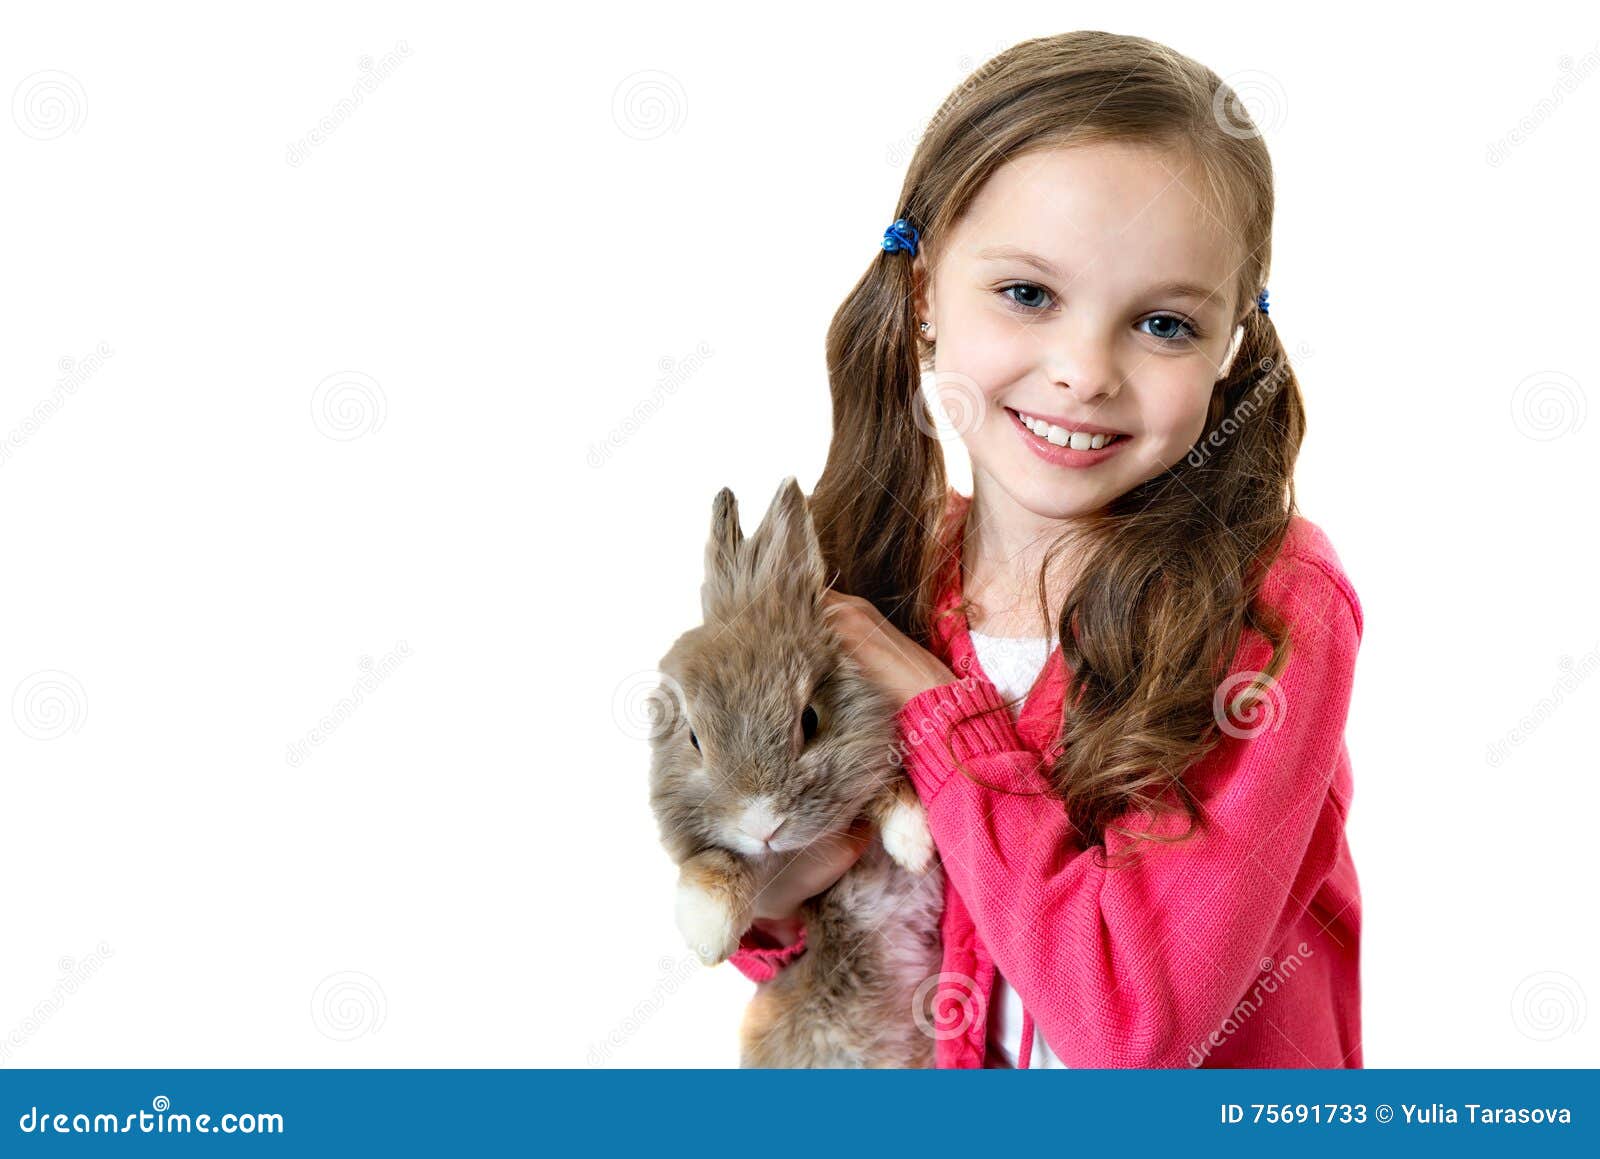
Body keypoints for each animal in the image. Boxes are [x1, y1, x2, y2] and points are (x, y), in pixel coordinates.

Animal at [646, 476, 946, 1067]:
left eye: (810, 719)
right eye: (694, 739)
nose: (764, 826)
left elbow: (888, 787)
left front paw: (914, 844)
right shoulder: (710, 850)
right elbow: (714, 860)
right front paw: (709, 932)